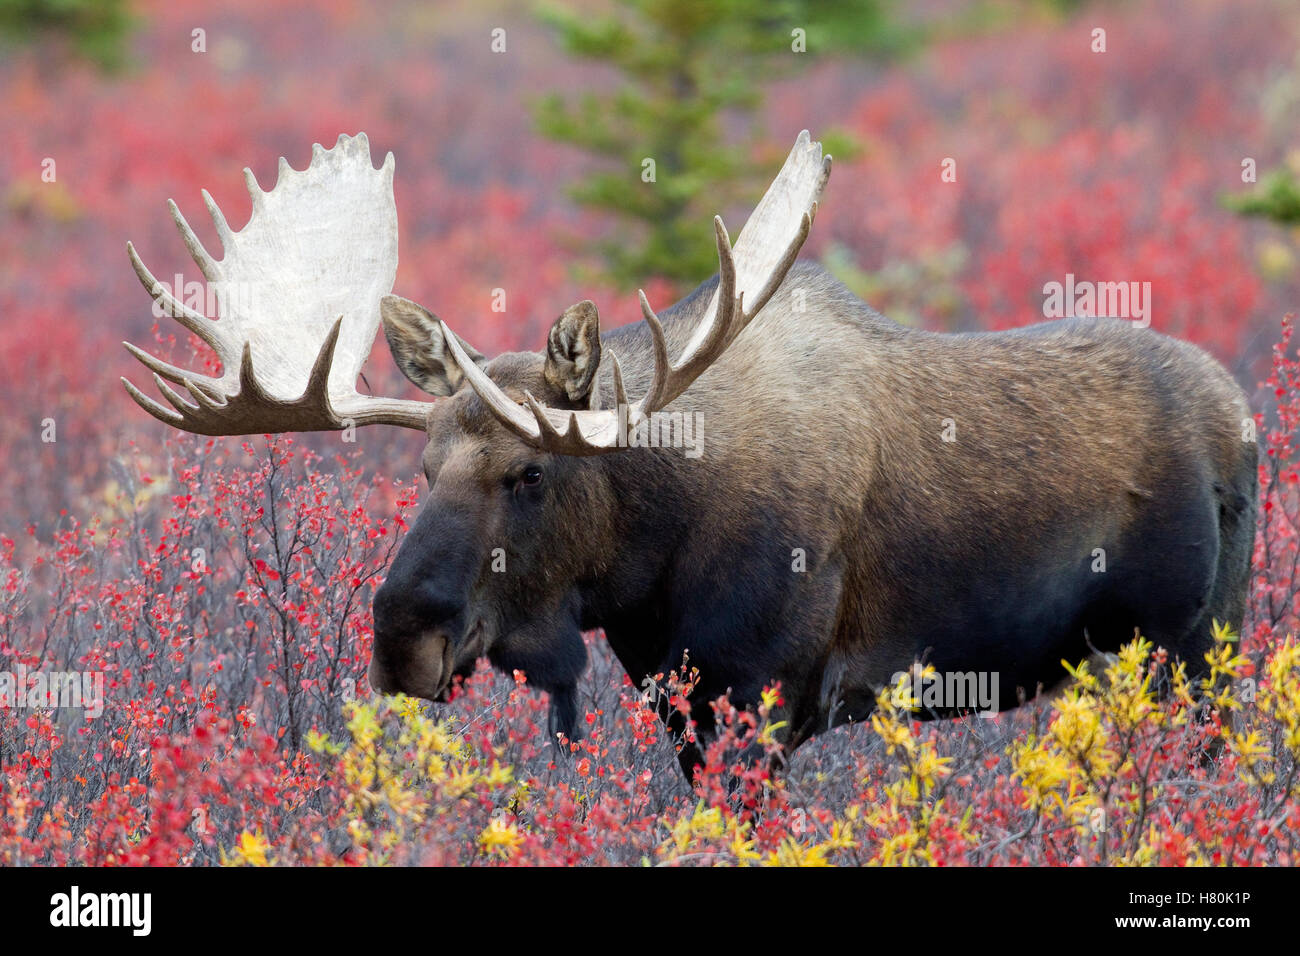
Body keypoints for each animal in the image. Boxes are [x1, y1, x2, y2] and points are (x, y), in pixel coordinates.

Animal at [123, 132, 1257, 783]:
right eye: (422, 468)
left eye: (528, 472)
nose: (403, 638)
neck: (644, 566)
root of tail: (1243, 417)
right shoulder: (682, 702)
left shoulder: (767, 698)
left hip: (1190, 647)